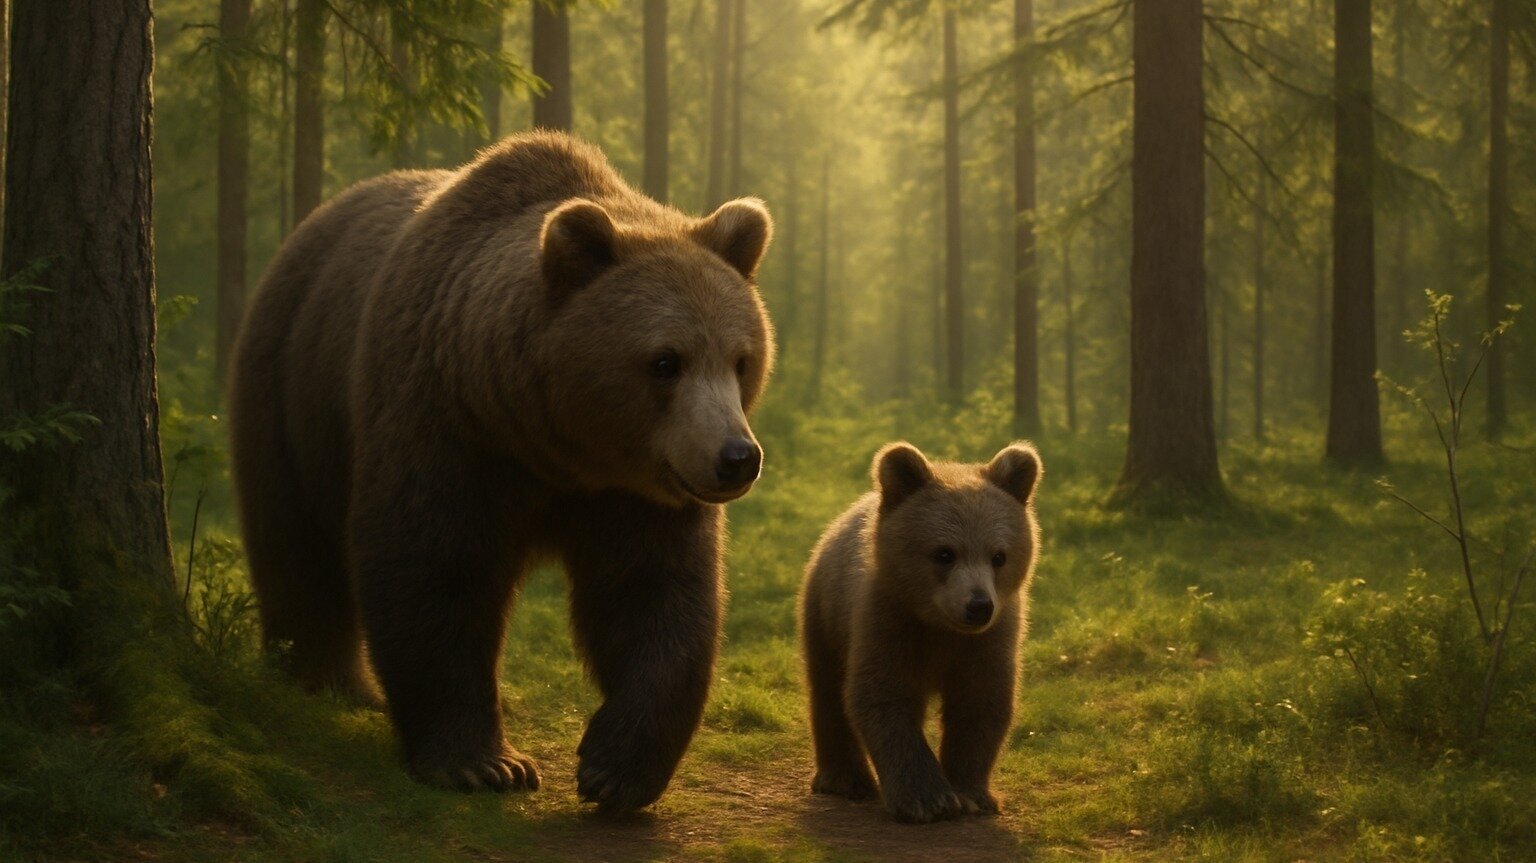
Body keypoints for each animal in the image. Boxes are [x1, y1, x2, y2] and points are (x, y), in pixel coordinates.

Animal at [228, 131, 775, 813]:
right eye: (665, 360)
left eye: (740, 359)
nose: (736, 456)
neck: (552, 445)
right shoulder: (445, 427)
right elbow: (434, 568)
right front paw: (484, 763)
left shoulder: (635, 492)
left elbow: (653, 591)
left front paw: (614, 766)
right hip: (289, 393)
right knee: (294, 545)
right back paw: (324, 678)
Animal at [799, 441, 1042, 823]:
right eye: (944, 553)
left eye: (998, 556)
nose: (978, 605)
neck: (940, 625)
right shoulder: (889, 622)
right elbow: (882, 696)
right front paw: (927, 799)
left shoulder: (988, 639)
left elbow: (980, 702)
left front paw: (971, 794)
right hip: (826, 613)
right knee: (828, 689)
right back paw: (845, 779)